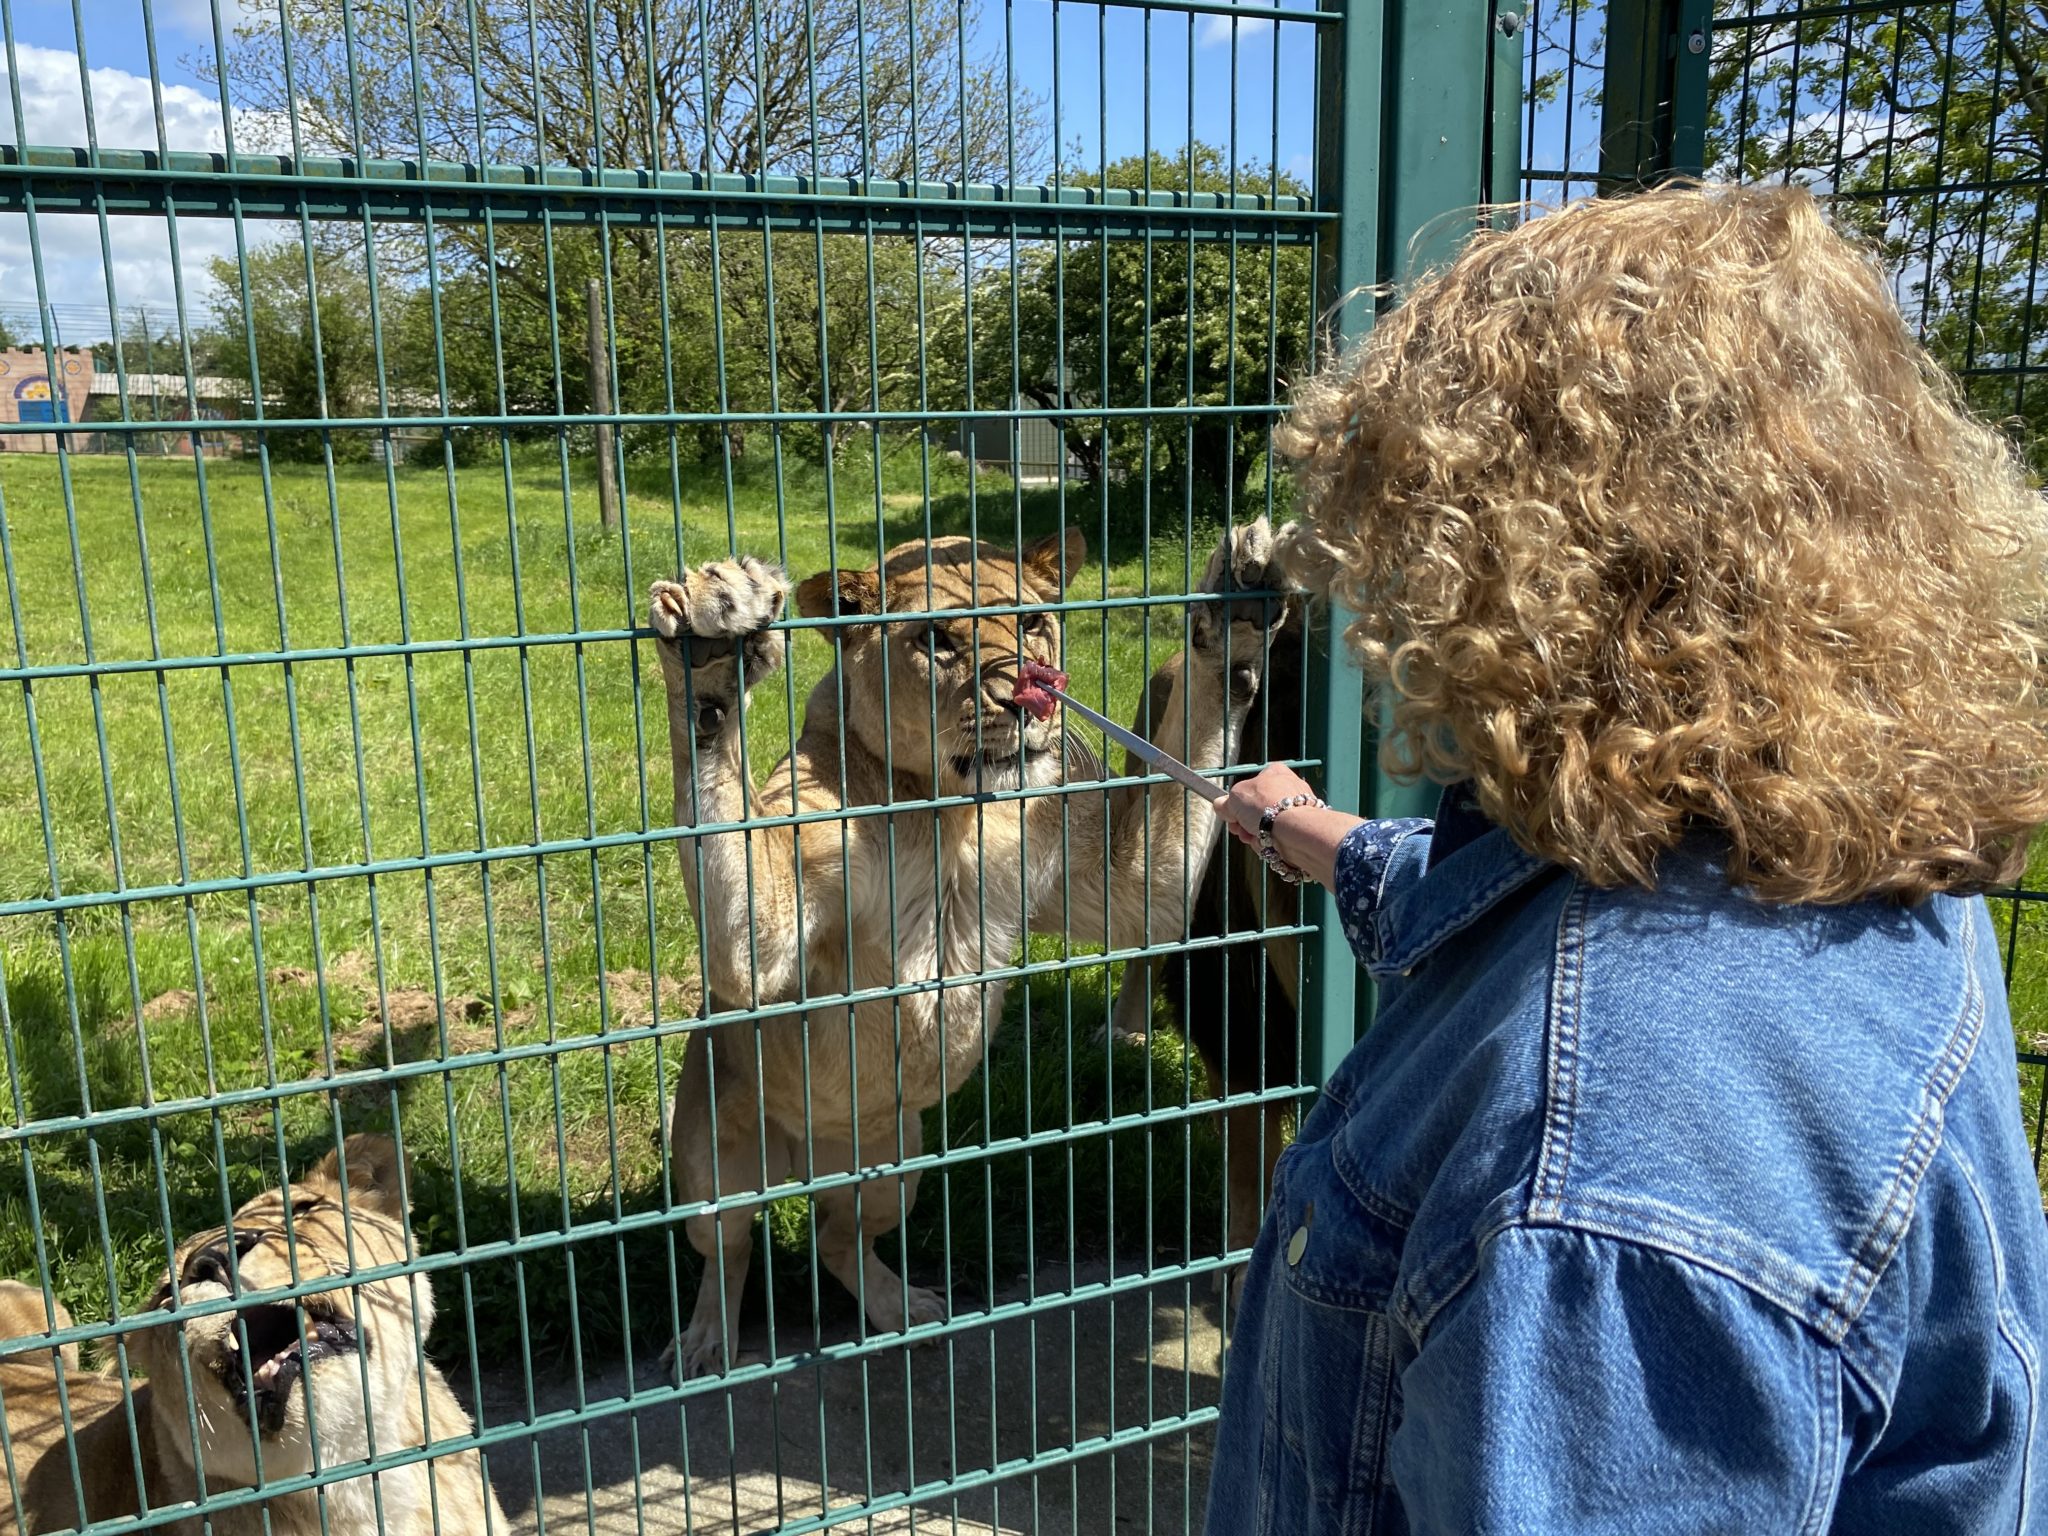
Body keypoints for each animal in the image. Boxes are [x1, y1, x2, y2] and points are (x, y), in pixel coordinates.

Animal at [647, 519, 1287, 1377]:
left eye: (1033, 623)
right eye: (937, 642)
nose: (1024, 694)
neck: (951, 813)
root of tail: (807, 1161)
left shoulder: (1113, 885)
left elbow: (1162, 854)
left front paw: (1240, 609)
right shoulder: (768, 938)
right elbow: (748, 934)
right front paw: (714, 647)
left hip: (899, 1164)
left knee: (837, 1238)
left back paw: (900, 1307)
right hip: (714, 1166)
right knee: (731, 1248)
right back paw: (707, 1341)